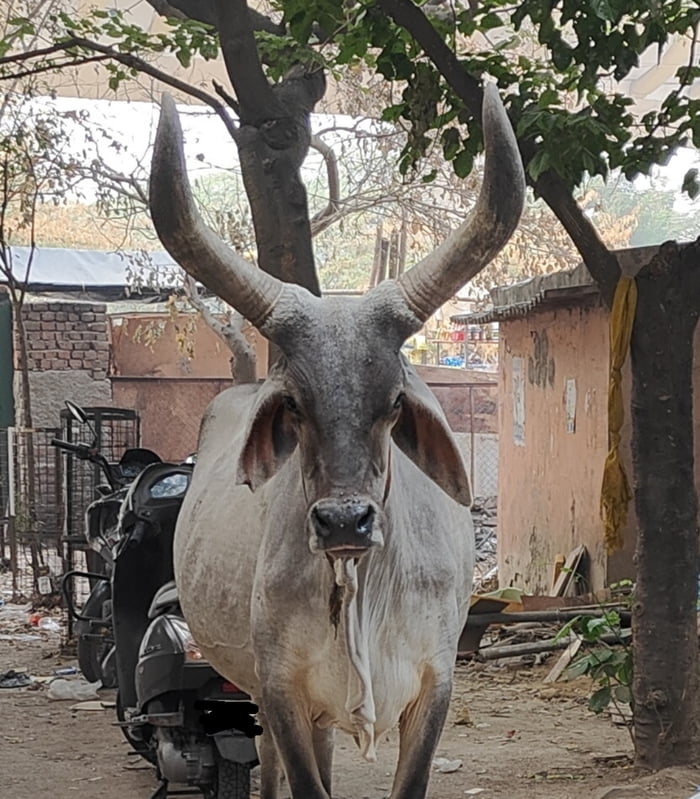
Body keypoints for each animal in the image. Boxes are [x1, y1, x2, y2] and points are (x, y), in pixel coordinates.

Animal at [148, 83, 525, 799]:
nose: (345, 521)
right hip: (264, 691)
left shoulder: (435, 686)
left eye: (395, 402)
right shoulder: (282, 689)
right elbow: (301, 778)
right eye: (295, 403)